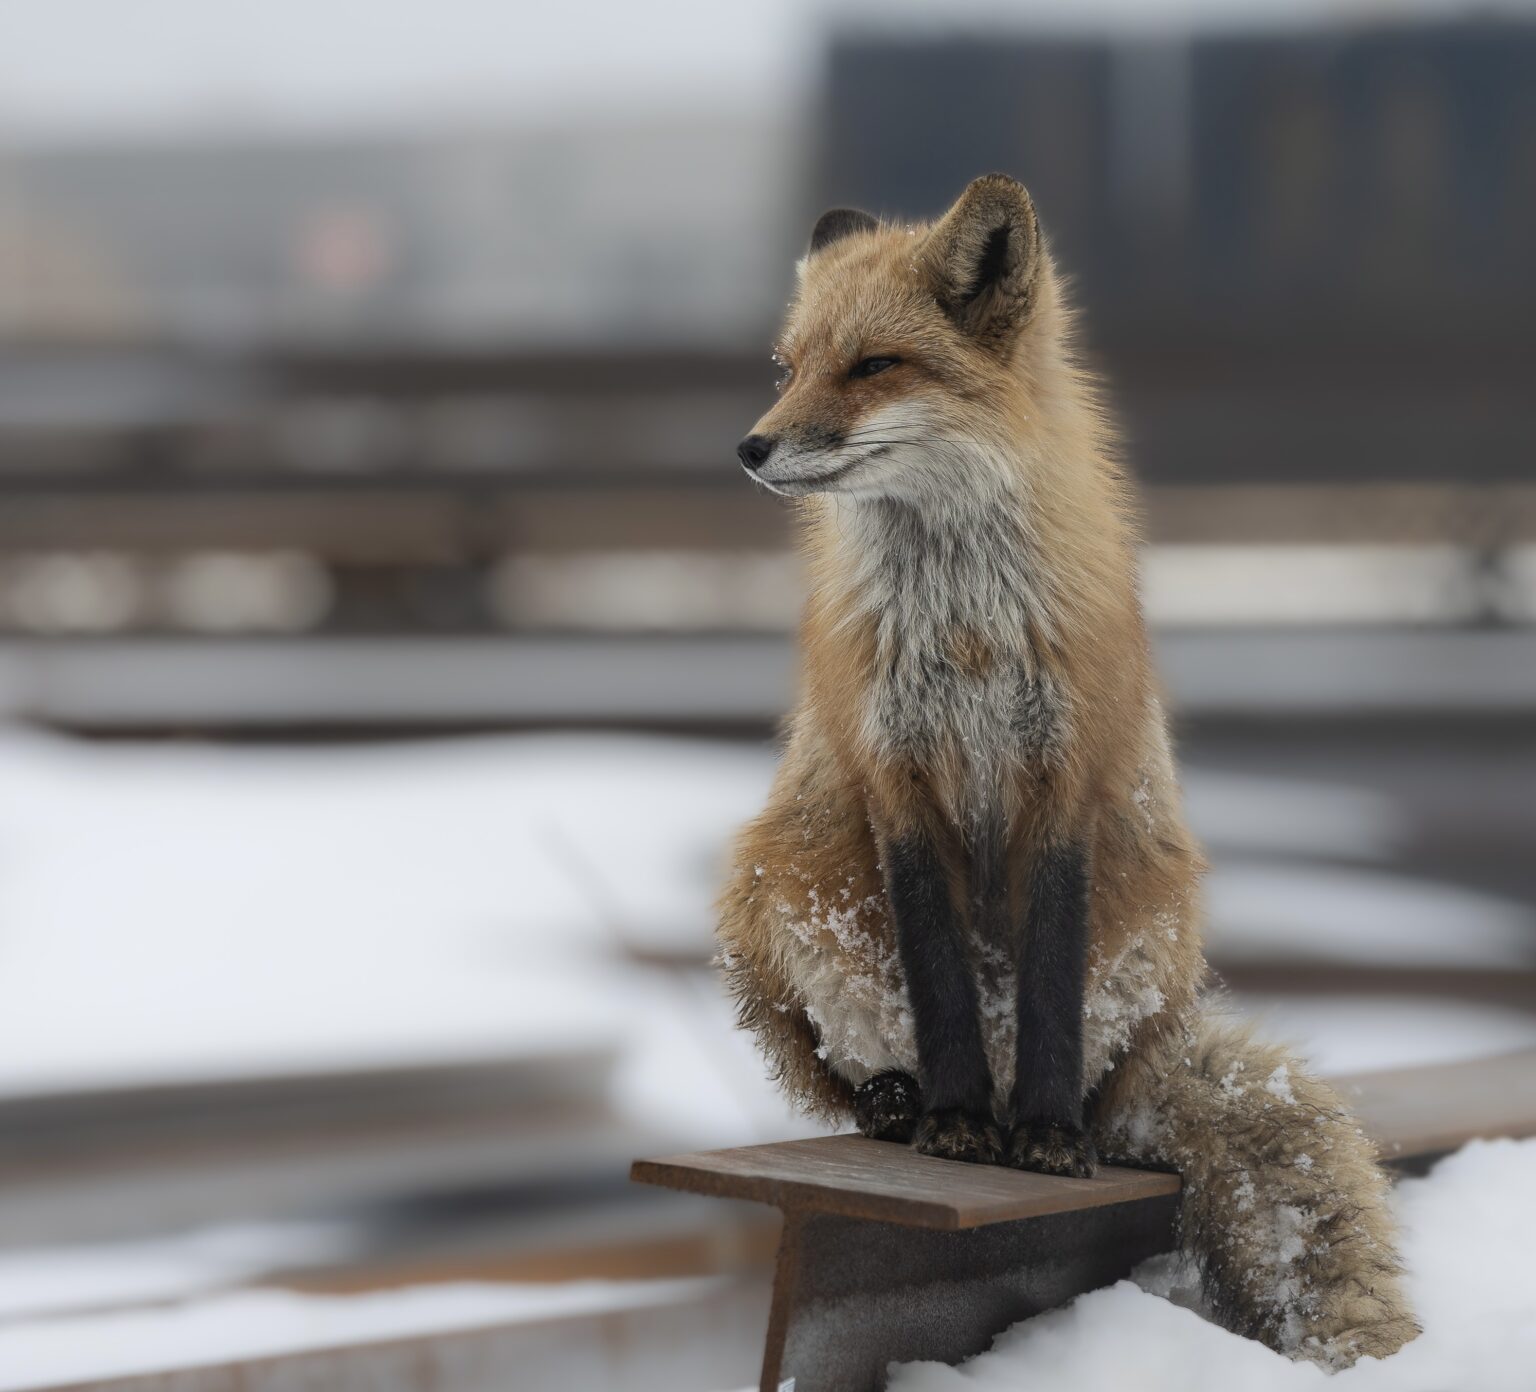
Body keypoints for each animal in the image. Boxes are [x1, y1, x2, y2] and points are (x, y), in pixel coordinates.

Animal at [716, 174, 1419, 1366]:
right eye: (790, 365)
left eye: (872, 366)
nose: (751, 449)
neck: (964, 628)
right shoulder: (896, 778)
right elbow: (939, 975)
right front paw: (956, 1123)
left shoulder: (1067, 780)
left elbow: (1049, 973)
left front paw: (1044, 1139)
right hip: (789, 878)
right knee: (846, 1066)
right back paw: (903, 1105)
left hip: (1156, 920)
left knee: (1095, 1066)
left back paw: (1061, 1117)